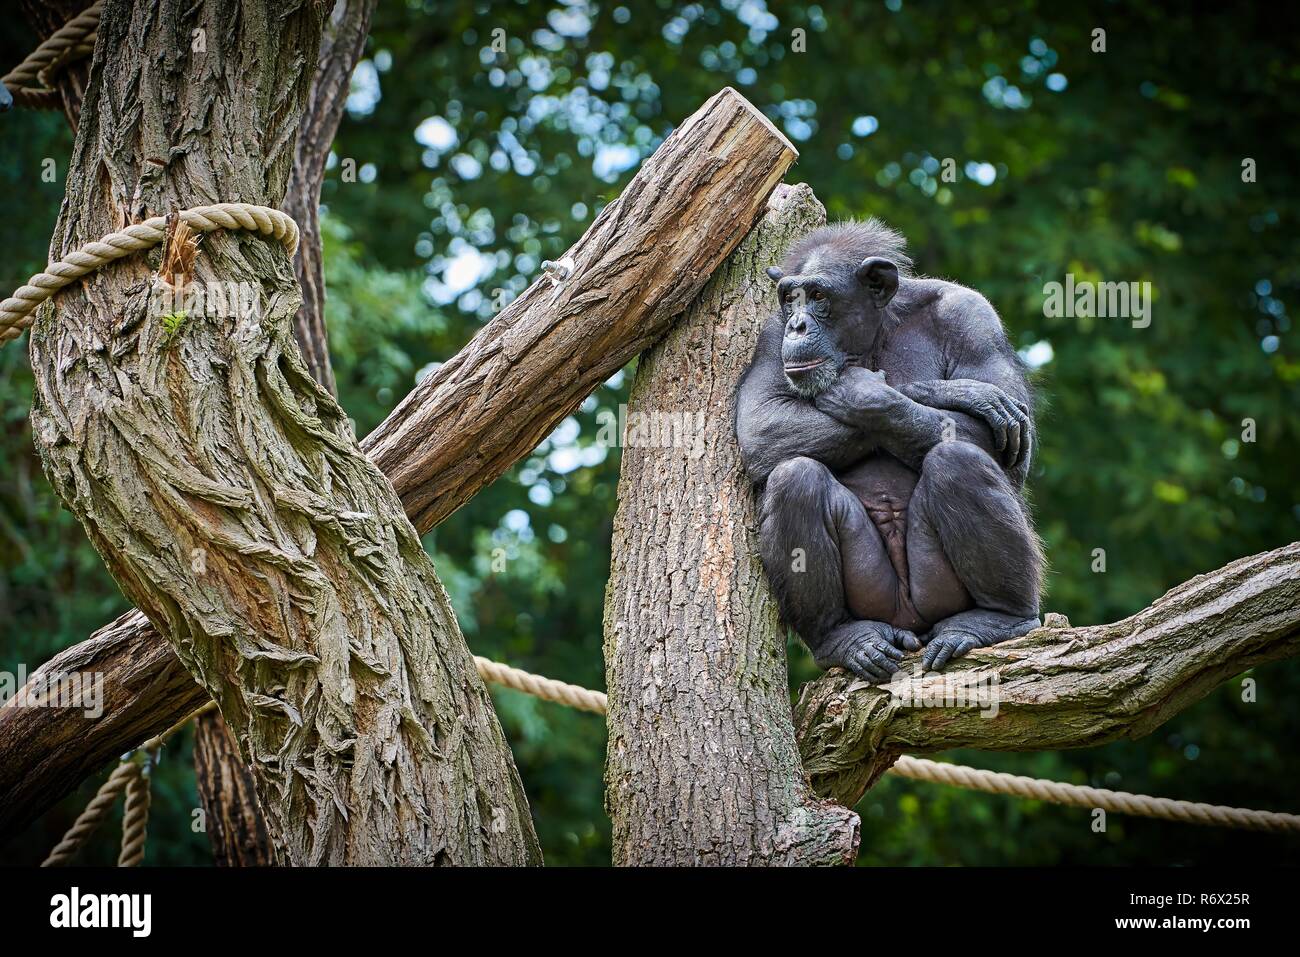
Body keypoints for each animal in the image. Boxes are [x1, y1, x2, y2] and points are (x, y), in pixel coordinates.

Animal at [734, 219, 1043, 683]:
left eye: (819, 296)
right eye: (791, 298)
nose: (798, 325)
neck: (875, 330)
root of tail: (909, 626)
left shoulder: (973, 316)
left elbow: (1005, 443)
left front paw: (886, 391)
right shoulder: (770, 337)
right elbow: (762, 422)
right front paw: (958, 393)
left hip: (936, 594)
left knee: (958, 460)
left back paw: (1001, 618)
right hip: (875, 597)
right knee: (796, 479)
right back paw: (843, 637)